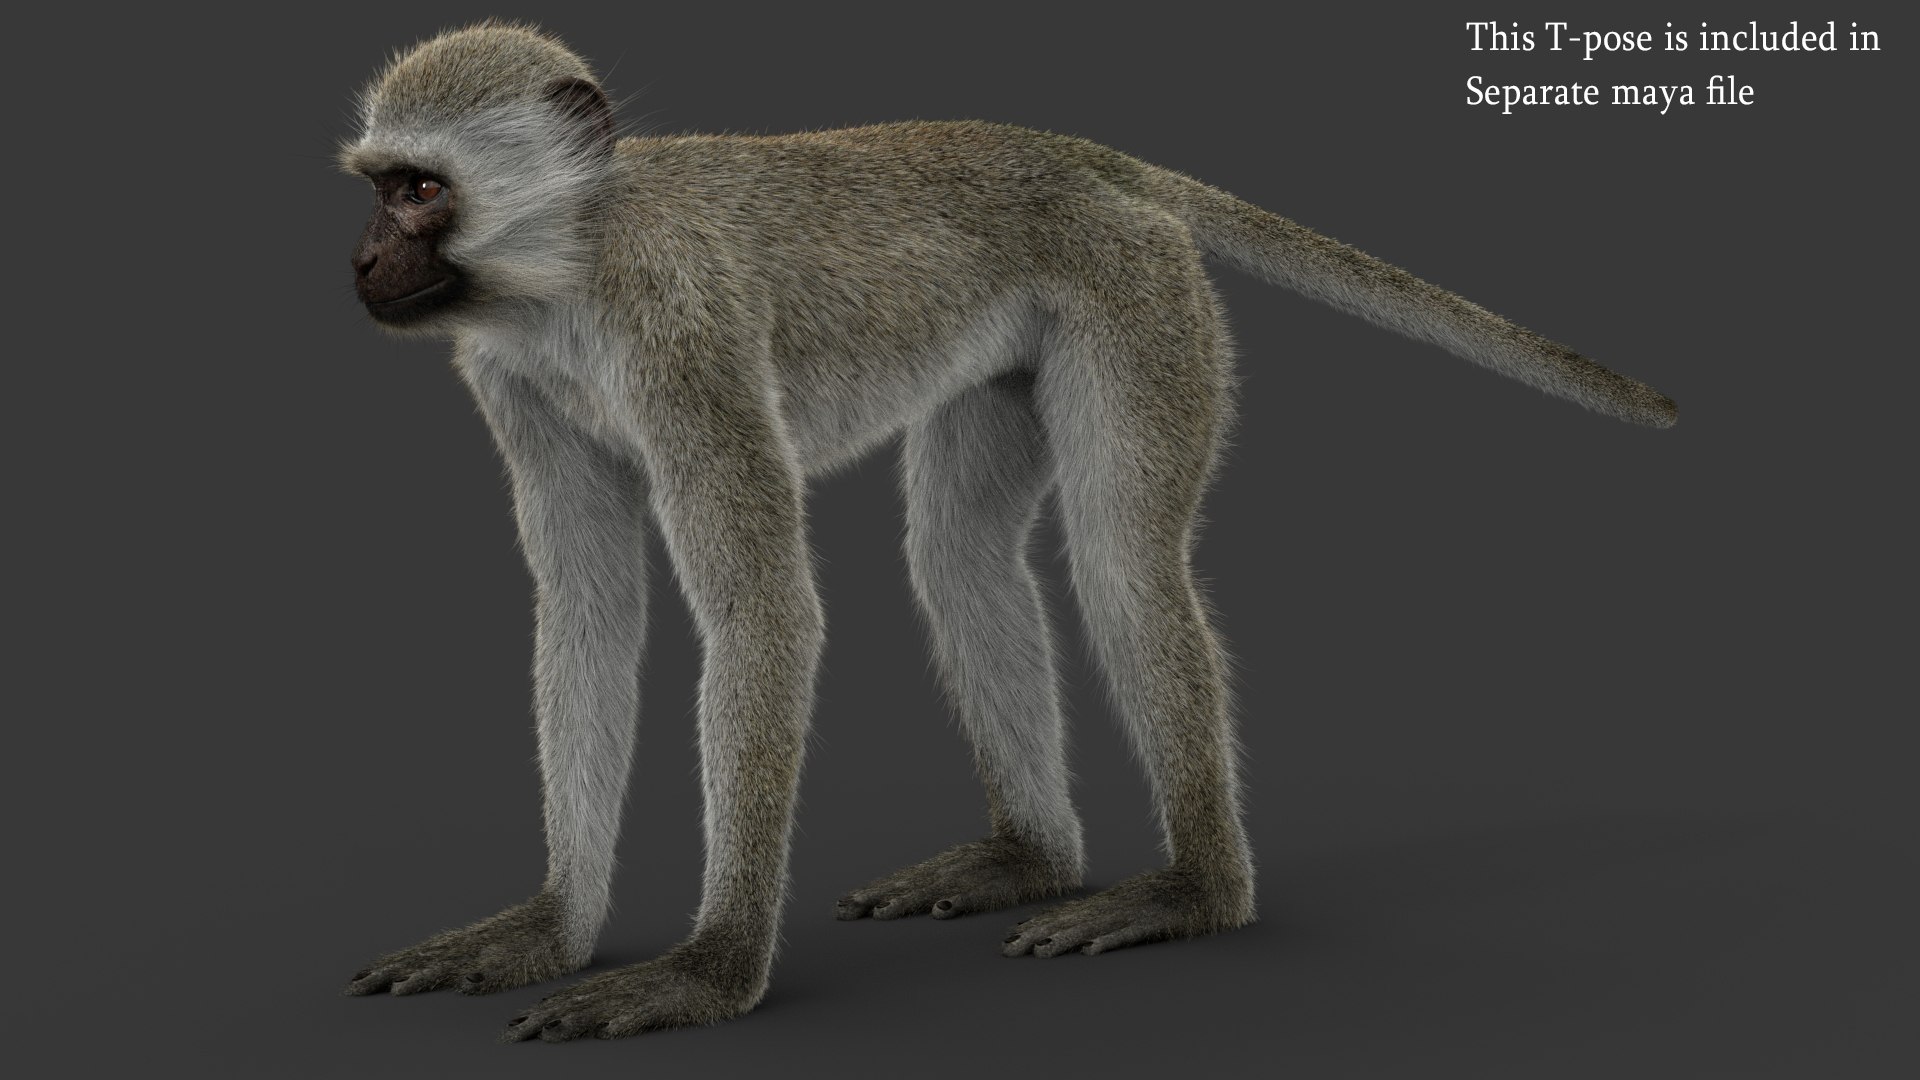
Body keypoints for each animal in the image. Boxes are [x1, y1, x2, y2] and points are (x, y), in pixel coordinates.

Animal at [338, 21, 1676, 1042]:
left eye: (420, 190)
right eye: (378, 186)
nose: (359, 260)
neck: (576, 259)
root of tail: (1078, 157)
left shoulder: (684, 336)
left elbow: (764, 612)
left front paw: (709, 972)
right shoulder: (509, 373)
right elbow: (593, 613)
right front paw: (553, 929)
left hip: (1137, 292)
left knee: (1124, 564)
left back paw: (1194, 891)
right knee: (963, 556)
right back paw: (1030, 857)